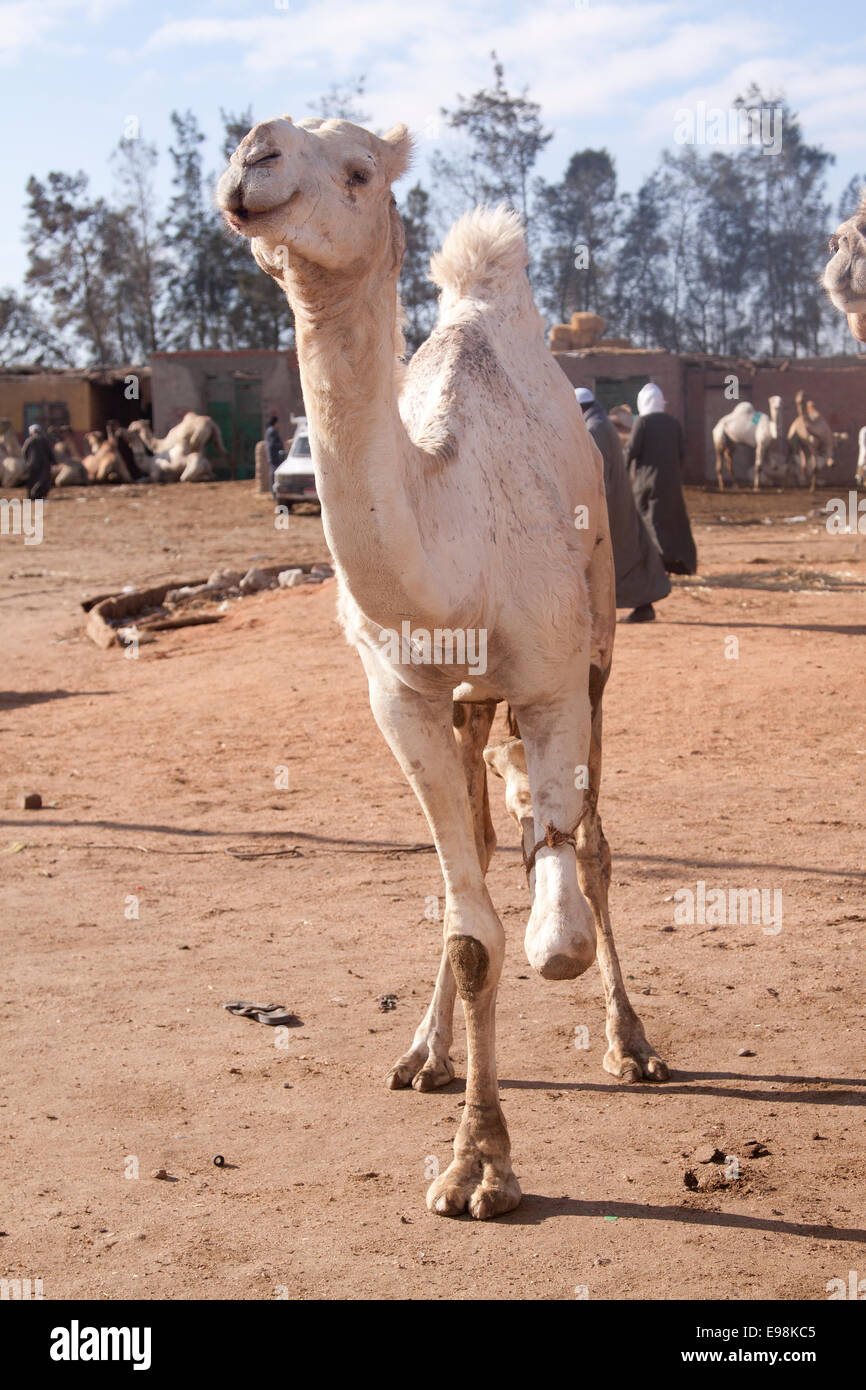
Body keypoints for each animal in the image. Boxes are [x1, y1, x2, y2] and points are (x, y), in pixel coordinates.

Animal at [217, 115, 668, 1221]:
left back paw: (630, 1041)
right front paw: (476, 1156)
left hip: (598, 649)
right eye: (255, 143)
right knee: (477, 852)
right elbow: (471, 932)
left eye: (356, 170)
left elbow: (555, 924)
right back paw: (425, 1052)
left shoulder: (551, 682)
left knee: (595, 849)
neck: (453, 553)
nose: (252, 159)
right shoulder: (402, 704)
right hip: (464, 711)